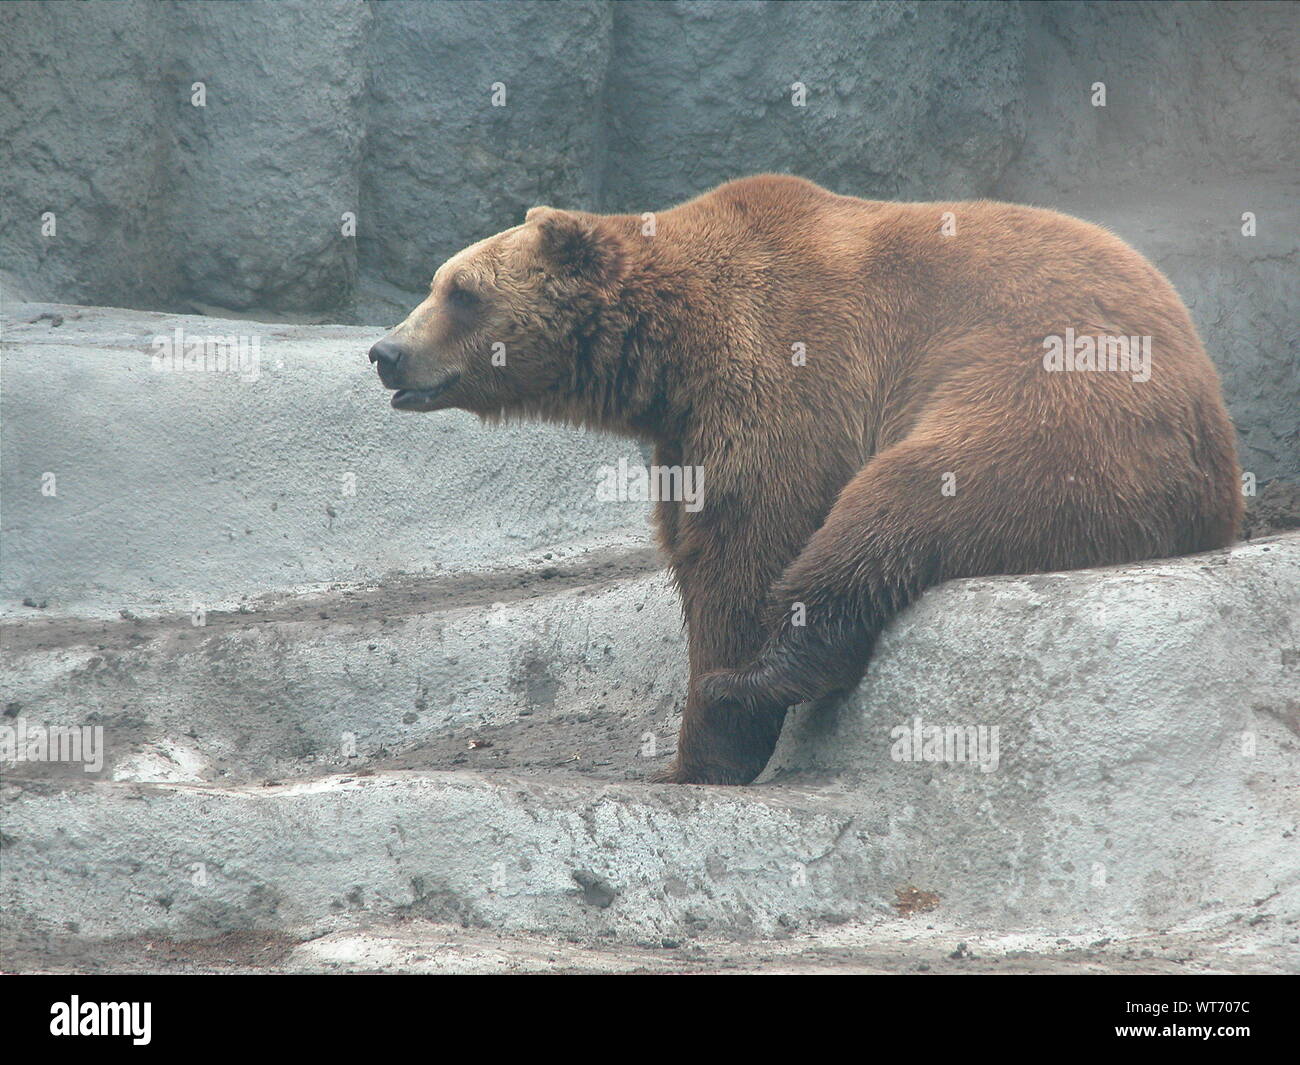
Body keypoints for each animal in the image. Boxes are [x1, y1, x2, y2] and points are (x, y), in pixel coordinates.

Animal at [368, 174, 1242, 786]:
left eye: (460, 291)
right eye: (440, 282)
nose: (385, 351)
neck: (671, 350)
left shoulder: (784, 367)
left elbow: (744, 544)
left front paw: (700, 743)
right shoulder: (683, 429)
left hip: (1043, 401)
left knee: (903, 505)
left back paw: (757, 679)